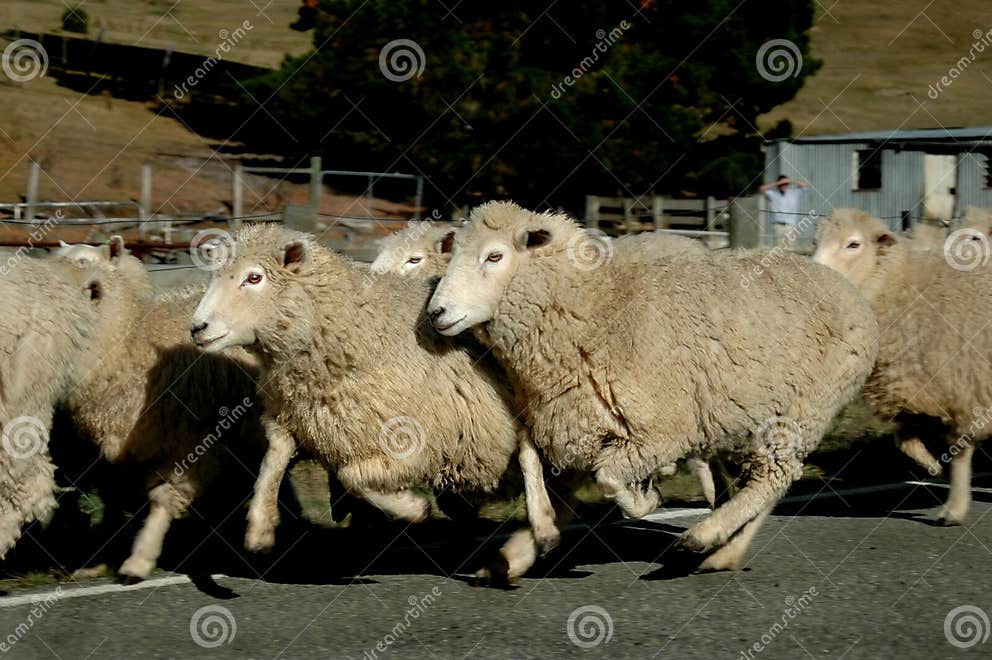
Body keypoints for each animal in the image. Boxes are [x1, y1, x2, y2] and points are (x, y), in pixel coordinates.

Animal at [53, 238, 283, 582]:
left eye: (83, 262)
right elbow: (112, 498)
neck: (131, 334)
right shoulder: (123, 447)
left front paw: (139, 560)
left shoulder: (194, 442)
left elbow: (162, 498)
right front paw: (96, 561)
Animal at [189, 224, 559, 582]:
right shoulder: (294, 415)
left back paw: (540, 530)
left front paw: (412, 508)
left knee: (528, 453)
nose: (197, 327)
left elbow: (353, 477)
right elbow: (273, 462)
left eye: (254, 277)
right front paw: (260, 529)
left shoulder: (413, 440)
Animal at [427, 201, 879, 572]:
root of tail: (846, 289)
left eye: (494, 255)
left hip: (801, 413)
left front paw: (647, 499)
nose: (436, 312)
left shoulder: (661, 432)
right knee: (759, 483)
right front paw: (540, 534)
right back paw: (722, 545)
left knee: (774, 478)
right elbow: (528, 460)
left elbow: (609, 478)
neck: (595, 305)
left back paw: (707, 539)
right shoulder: (557, 414)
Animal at [813, 209, 992, 524]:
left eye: (853, 244)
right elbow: (904, 439)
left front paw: (954, 509)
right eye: (816, 241)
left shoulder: (964, 388)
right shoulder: (912, 386)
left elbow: (960, 450)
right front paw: (932, 467)